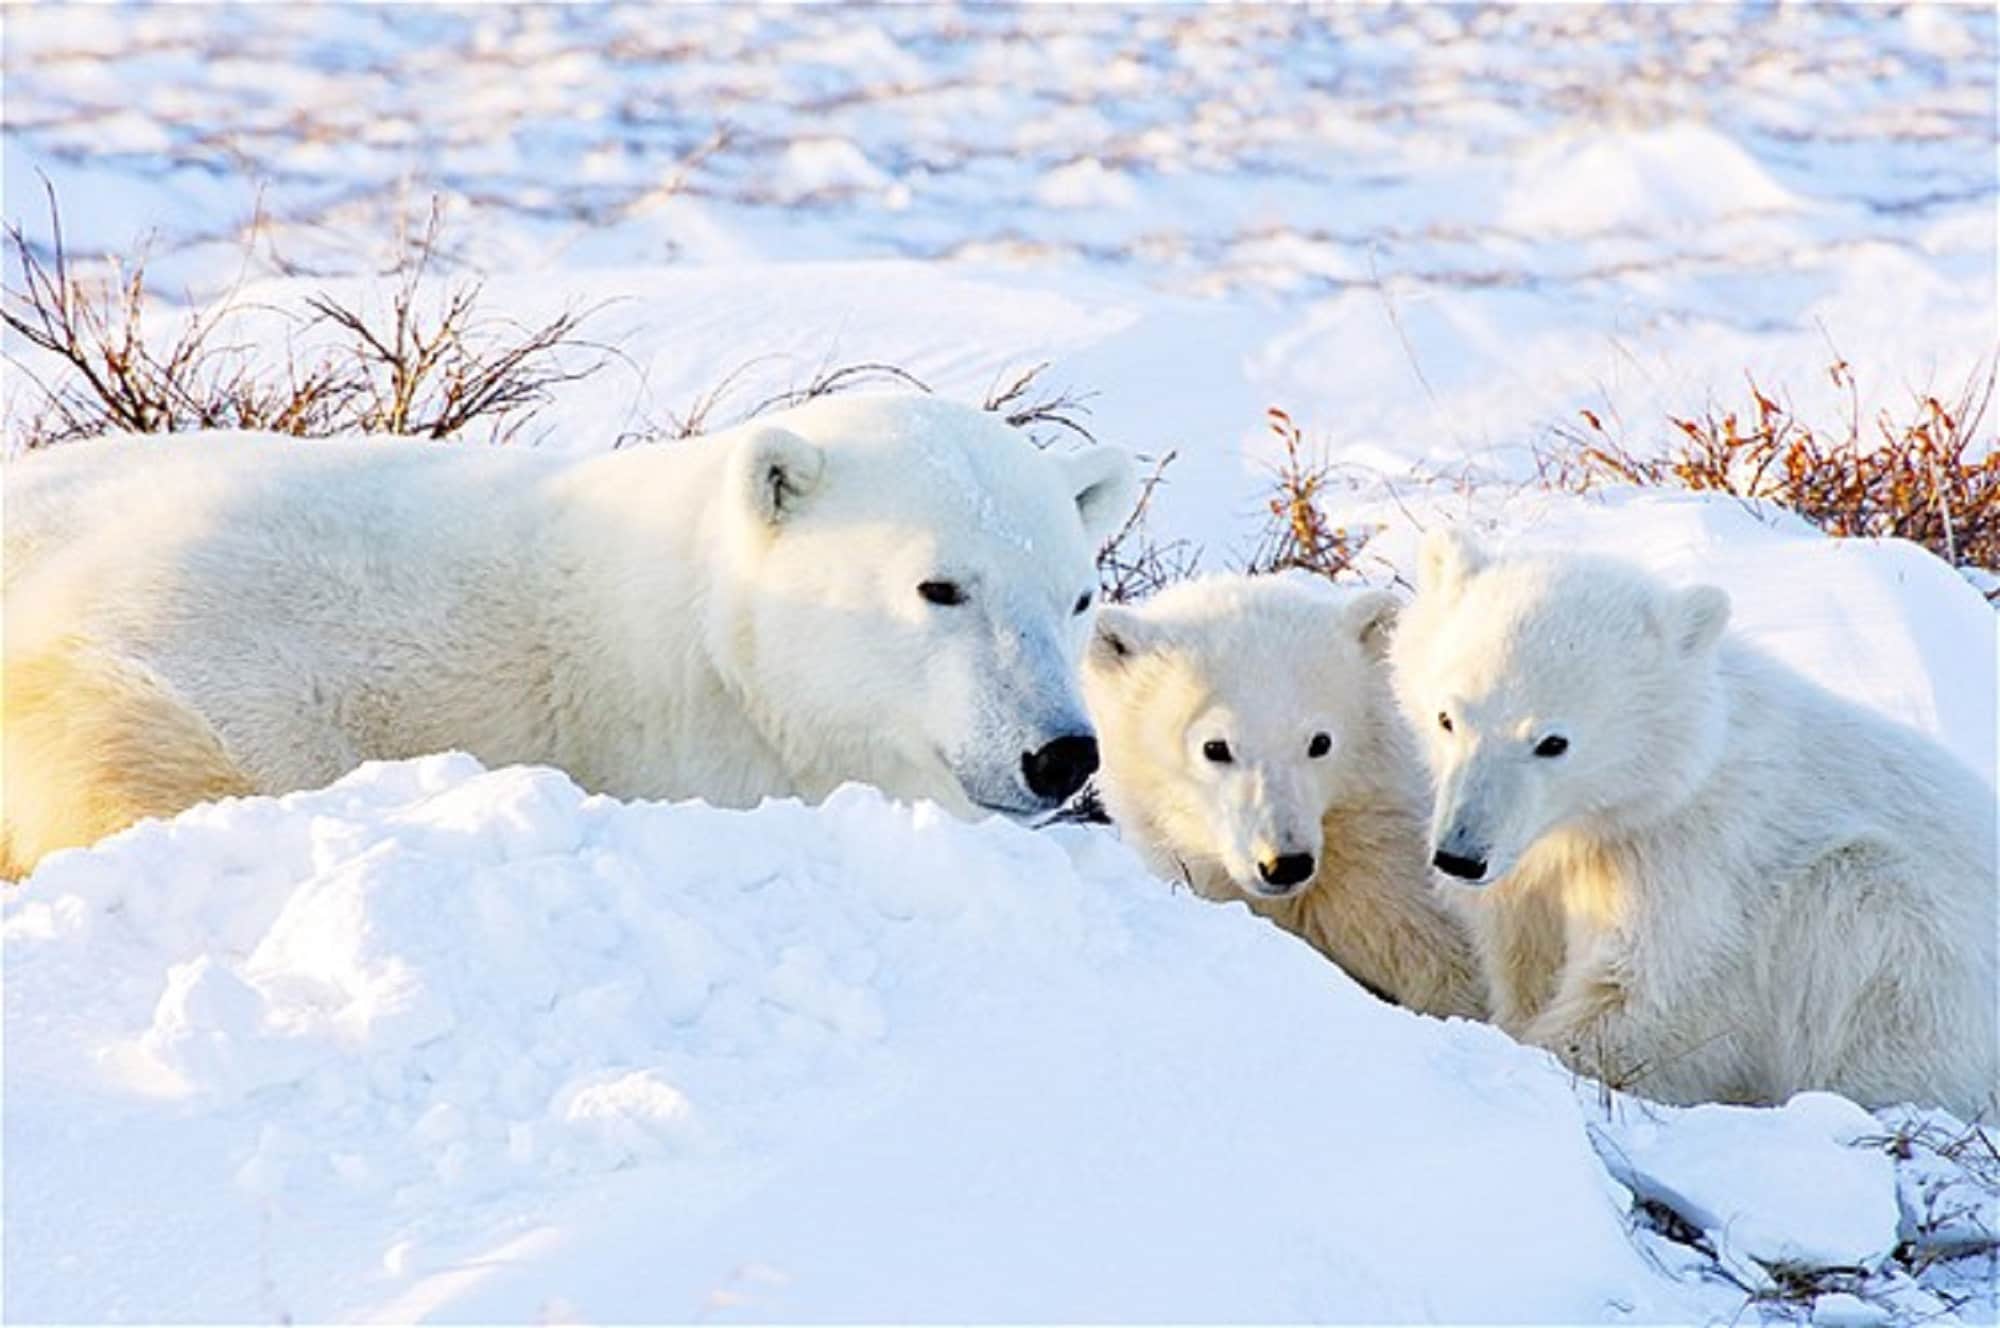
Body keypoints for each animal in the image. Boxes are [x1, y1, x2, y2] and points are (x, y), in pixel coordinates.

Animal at [1390, 528, 1997, 1116]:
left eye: (1553, 742)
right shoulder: (1537, 873)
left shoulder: (1688, 864)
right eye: (1448, 718)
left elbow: (1648, 995)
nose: (1460, 855)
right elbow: (1524, 954)